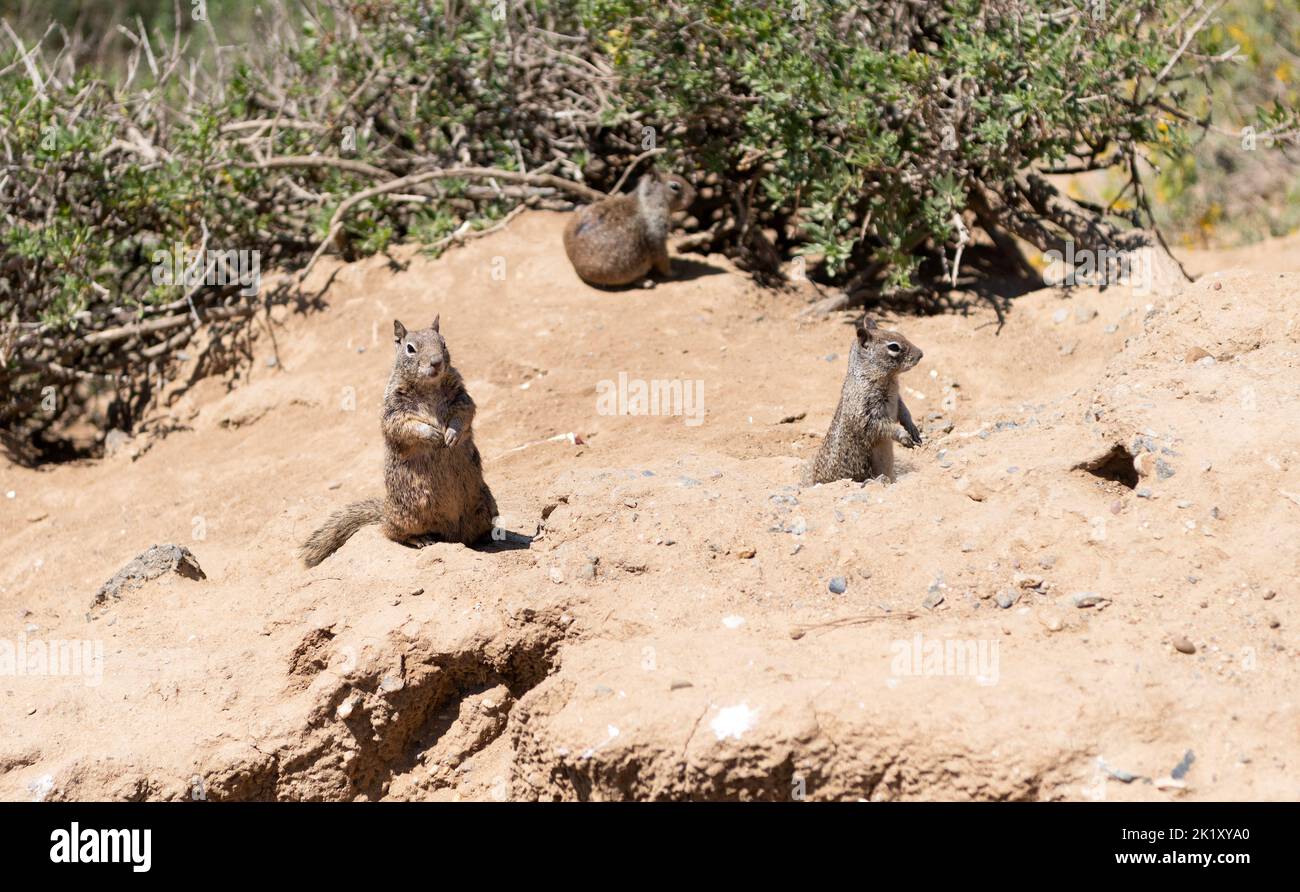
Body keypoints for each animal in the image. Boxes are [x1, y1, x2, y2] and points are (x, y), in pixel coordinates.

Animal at [299, 316, 498, 567]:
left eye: (443, 343)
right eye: (410, 348)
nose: (436, 362)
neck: (429, 387)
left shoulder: (461, 397)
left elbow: (465, 412)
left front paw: (451, 434)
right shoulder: (394, 411)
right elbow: (403, 426)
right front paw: (431, 434)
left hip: (486, 505)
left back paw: (486, 537)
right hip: (409, 514)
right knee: (391, 532)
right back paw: (420, 539)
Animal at [563, 170, 696, 287]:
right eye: (675, 186)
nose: (694, 195)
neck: (649, 199)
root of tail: (576, 267)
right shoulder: (658, 234)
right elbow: (662, 259)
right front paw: (673, 272)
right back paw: (646, 282)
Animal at [802, 316, 924, 486]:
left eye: (900, 334)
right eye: (894, 347)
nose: (921, 354)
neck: (889, 379)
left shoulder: (897, 398)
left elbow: (904, 411)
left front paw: (912, 428)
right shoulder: (866, 412)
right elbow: (880, 425)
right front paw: (903, 435)